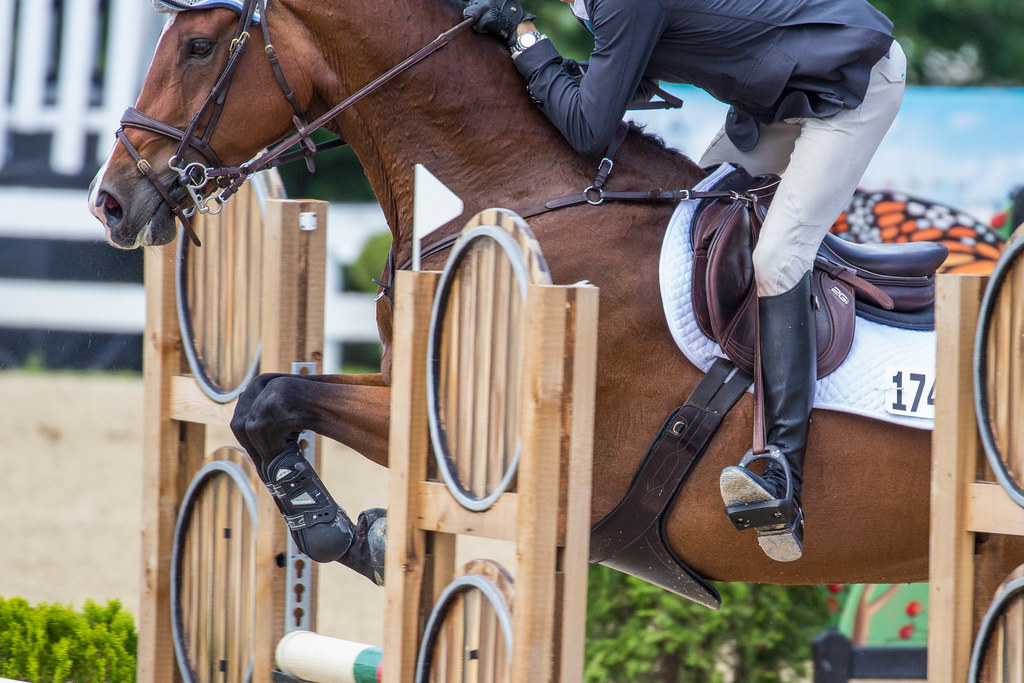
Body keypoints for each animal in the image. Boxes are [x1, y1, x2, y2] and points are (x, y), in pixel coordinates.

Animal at [87, 0, 1016, 598]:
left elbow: (273, 396)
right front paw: (357, 534)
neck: (522, 193)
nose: (110, 202)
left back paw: (767, 486)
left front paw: (330, 532)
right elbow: (264, 399)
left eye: (199, 45)